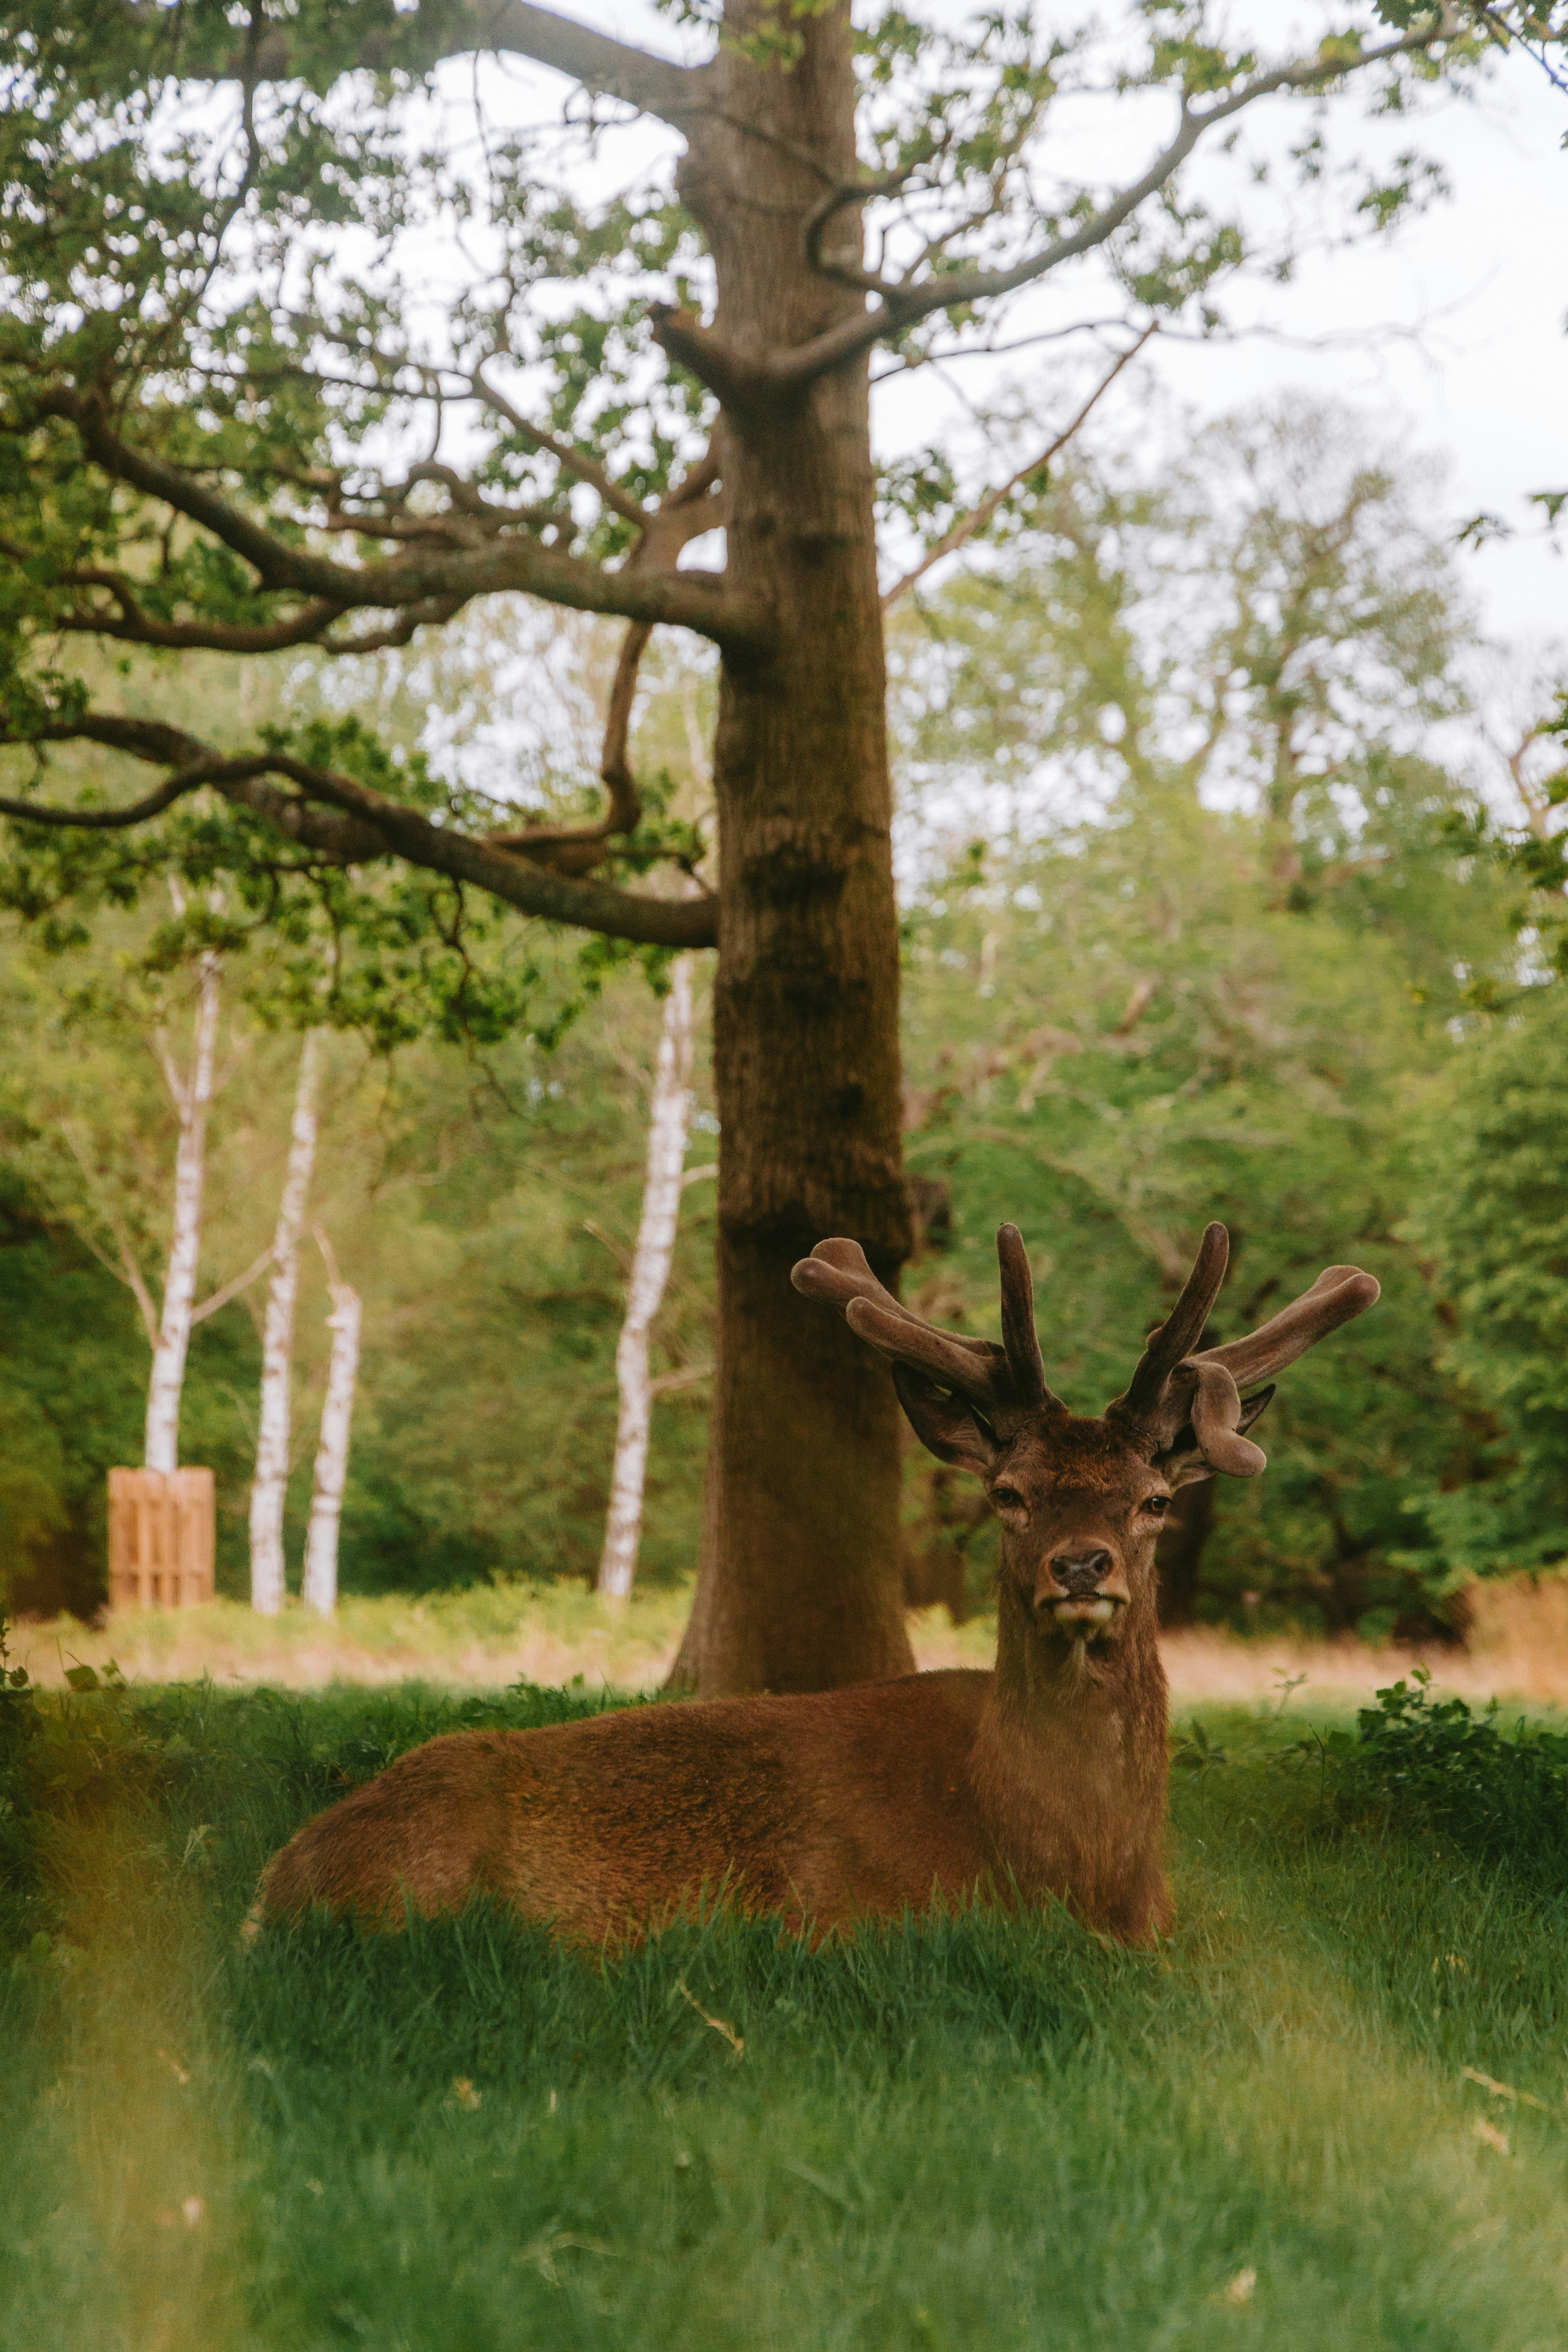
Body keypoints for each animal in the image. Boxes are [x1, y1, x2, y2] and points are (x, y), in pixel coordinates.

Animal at [248, 1221, 1377, 1947]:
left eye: (1151, 1500)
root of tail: (279, 1882)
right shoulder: (846, 1915)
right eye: (1009, 1493)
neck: (1077, 1865)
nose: (1080, 1563)